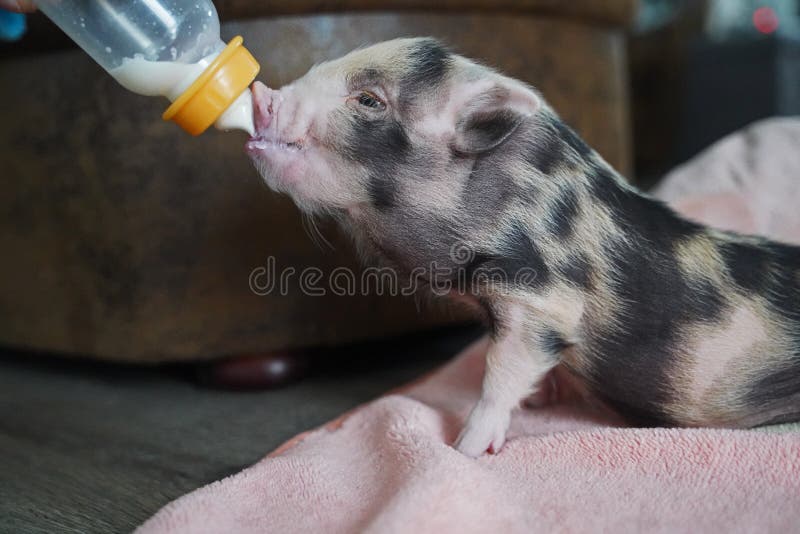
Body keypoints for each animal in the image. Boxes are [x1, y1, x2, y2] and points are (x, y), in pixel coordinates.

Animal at [245, 38, 800, 457]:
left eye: (369, 100)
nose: (258, 91)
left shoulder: (542, 298)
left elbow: (501, 371)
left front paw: (465, 448)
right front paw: (539, 402)